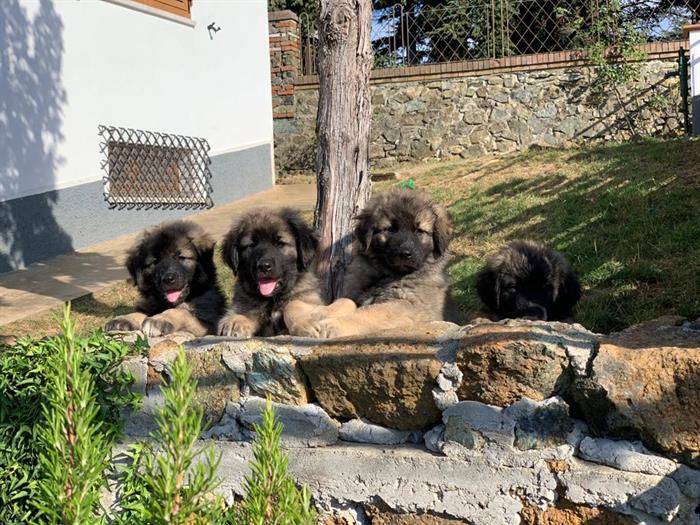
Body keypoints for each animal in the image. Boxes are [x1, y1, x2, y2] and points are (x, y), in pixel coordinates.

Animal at [304, 186, 460, 338]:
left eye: (419, 231)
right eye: (389, 229)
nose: (405, 254)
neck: (386, 274)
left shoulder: (408, 305)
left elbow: (367, 312)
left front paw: (333, 324)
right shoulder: (355, 291)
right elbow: (344, 301)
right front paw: (322, 312)